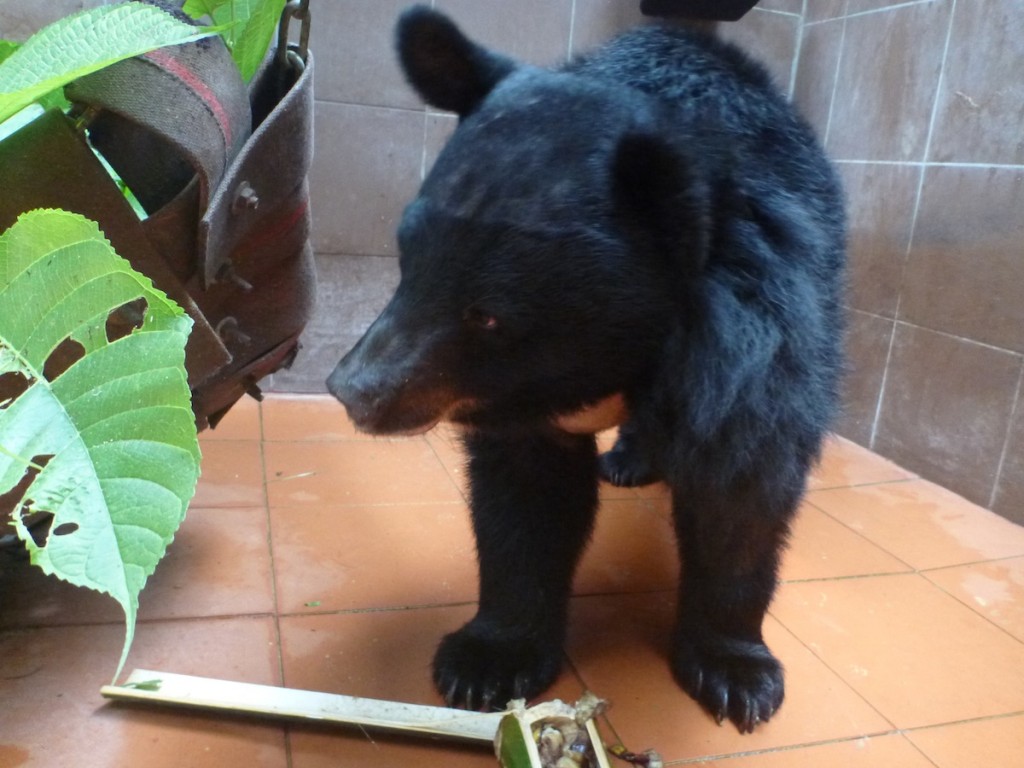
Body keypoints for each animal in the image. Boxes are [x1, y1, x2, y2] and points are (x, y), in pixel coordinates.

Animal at [326, 5, 844, 734]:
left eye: (488, 316)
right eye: (408, 261)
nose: (353, 391)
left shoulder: (761, 339)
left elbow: (741, 491)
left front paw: (736, 676)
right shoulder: (517, 404)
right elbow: (524, 503)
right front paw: (486, 663)